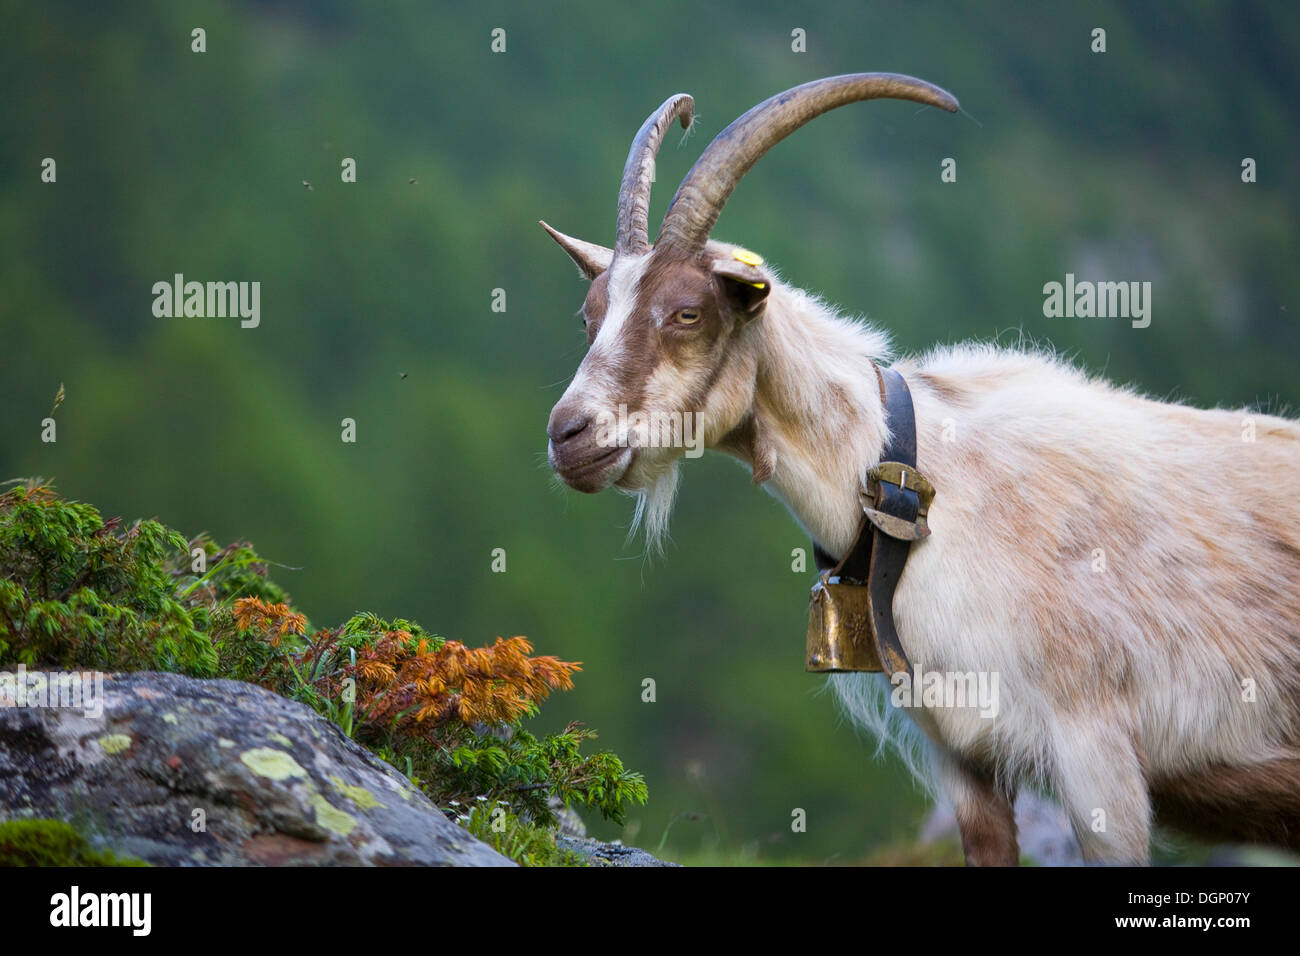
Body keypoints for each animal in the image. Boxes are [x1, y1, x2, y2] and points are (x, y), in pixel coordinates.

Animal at [540, 73, 1300, 865]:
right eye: (589, 315)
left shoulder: (1097, 753)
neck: (928, 489)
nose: (569, 435)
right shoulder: (965, 756)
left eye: (688, 312)